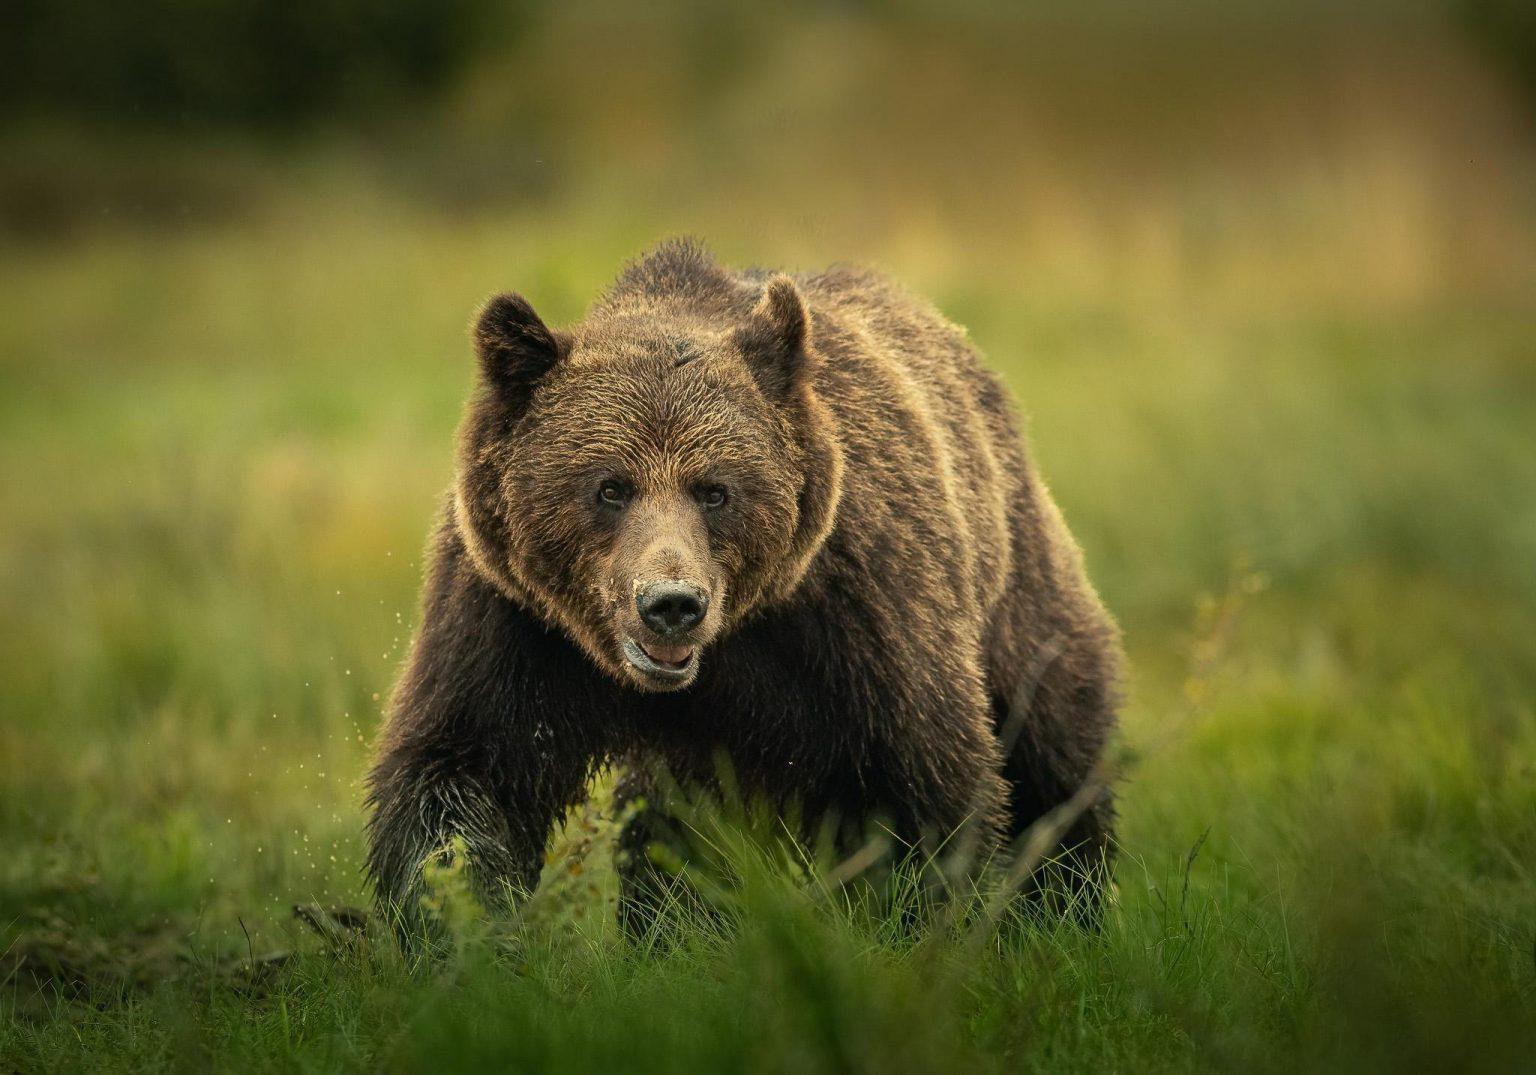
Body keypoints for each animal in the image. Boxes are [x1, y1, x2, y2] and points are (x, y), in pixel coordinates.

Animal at [365, 239, 1121, 933]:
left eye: (715, 490)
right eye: (609, 487)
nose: (672, 605)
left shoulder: (857, 610)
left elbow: (929, 783)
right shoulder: (510, 616)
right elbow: (462, 774)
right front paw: (463, 923)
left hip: (1017, 584)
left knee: (1056, 750)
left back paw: (1070, 902)